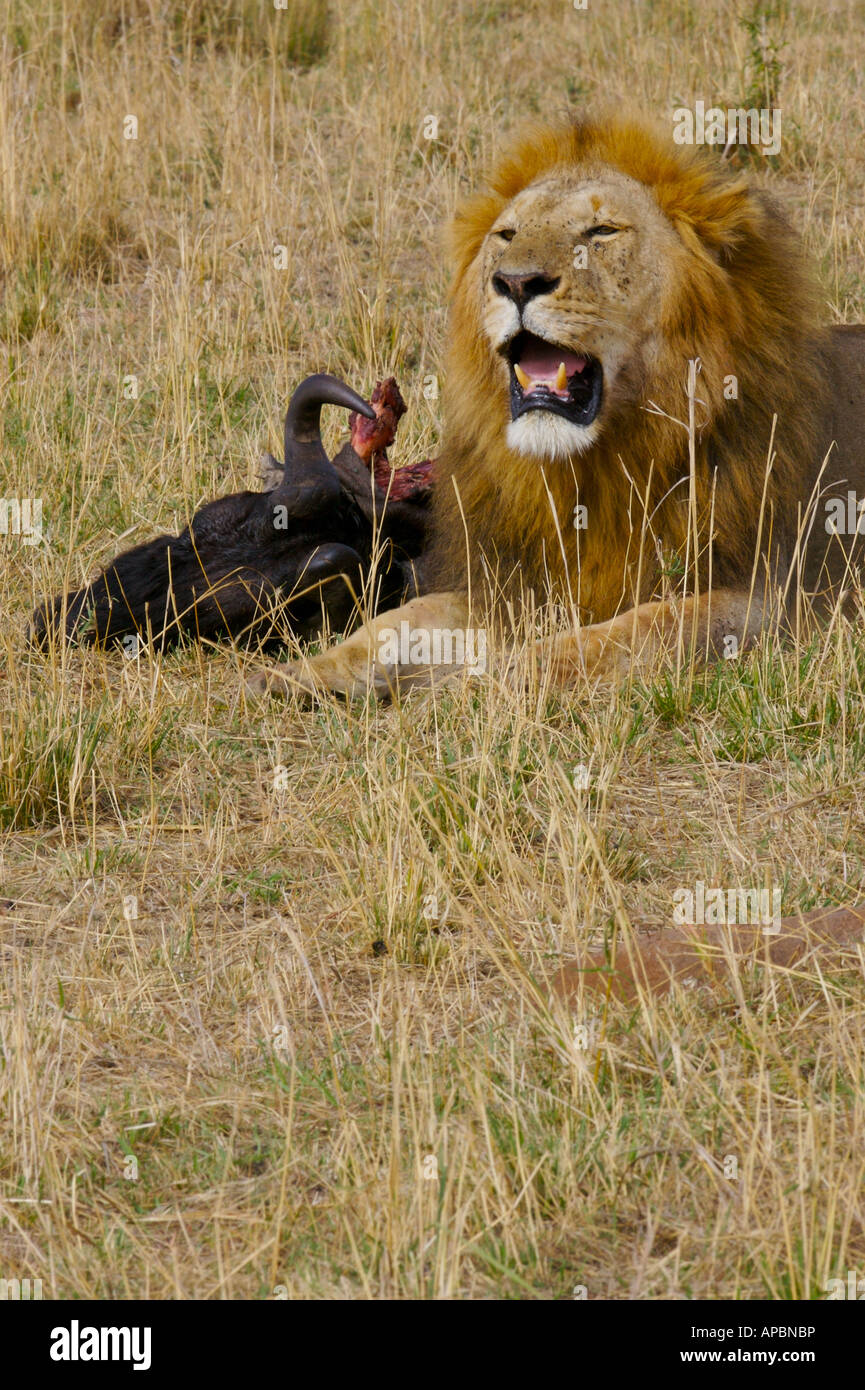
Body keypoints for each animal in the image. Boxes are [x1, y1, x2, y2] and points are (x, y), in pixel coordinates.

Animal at [251, 113, 865, 699]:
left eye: (602, 231)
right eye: (506, 234)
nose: (516, 282)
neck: (594, 466)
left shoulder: (781, 599)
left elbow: (643, 628)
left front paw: (504, 675)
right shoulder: (511, 580)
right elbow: (399, 623)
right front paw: (295, 674)